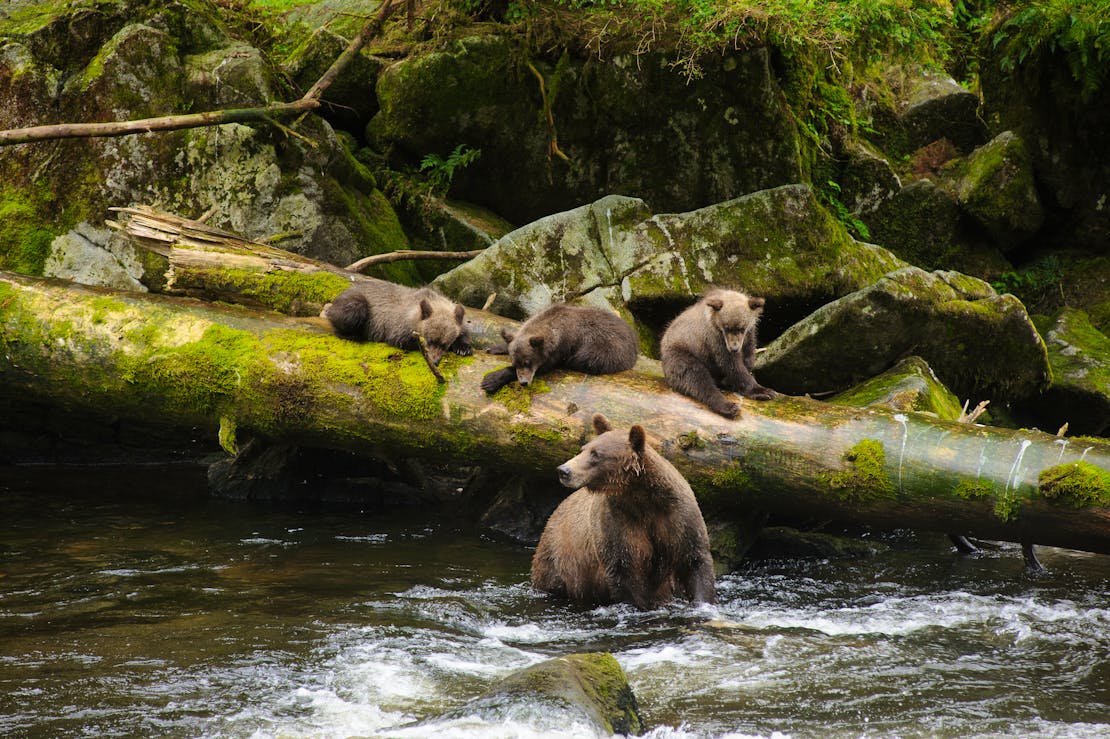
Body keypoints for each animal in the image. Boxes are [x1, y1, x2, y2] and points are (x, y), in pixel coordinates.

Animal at [324, 281, 470, 365]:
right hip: (356, 303)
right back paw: (353, 335)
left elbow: (463, 332)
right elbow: (402, 340)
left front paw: (463, 348)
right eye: (429, 340)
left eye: (444, 344)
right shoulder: (398, 326)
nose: (434, 361)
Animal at [480, 303, 638, 394]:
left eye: (527, 362)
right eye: (515, 362)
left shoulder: (562, 348)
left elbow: (546, 366)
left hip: (607, 349)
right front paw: (494, 347)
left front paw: (491, 380)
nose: (524, 382)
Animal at [530, 413, 717, 609]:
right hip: (559, 560)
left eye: (595, 454)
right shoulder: (619, 521)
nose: (564, 470)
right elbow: (624, 569)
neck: (641, 497)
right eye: (583, 449)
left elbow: (695, 562)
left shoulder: (678, 518)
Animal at [659, 288, 776, 418]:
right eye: (726, 327)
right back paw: (728, 407)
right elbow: (732, 366)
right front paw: (763, 391)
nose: (734, 348)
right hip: (681, 354)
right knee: (697, 378)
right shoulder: (715, 340)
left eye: (741, 328)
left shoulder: (749, 335)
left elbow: (748, 357)